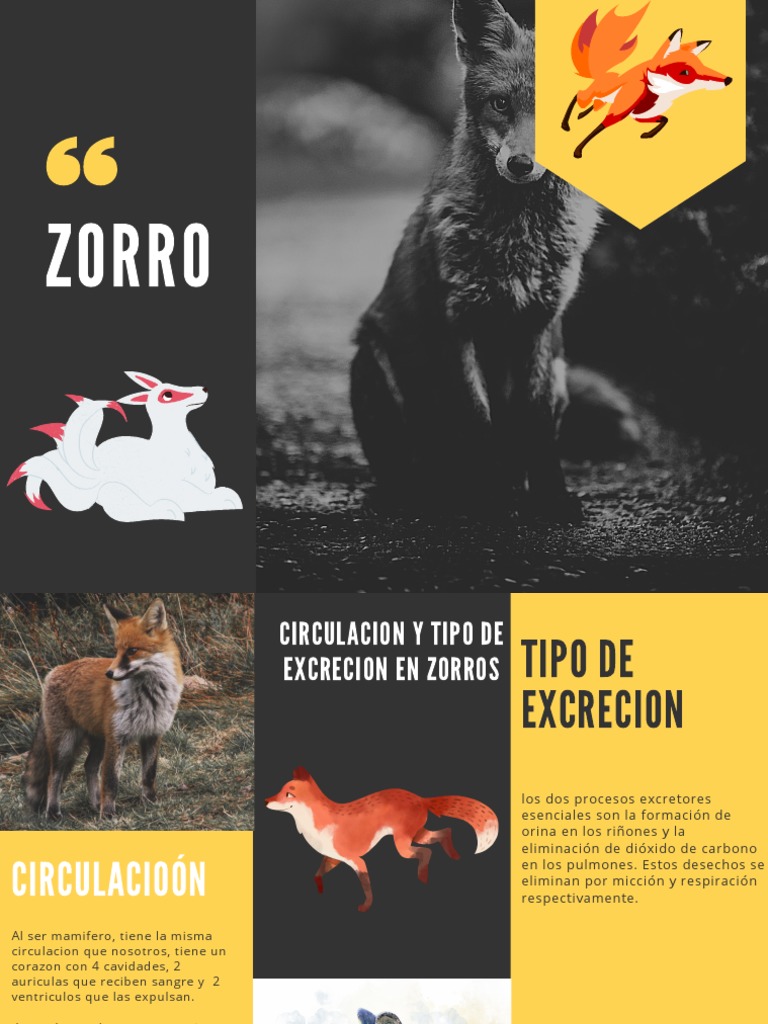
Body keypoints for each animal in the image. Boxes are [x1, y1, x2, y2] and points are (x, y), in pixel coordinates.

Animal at [23, 598, 183, 819]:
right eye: (116, 650)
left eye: (132, 650)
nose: (109, 673)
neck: (149, 697)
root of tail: (54, 671)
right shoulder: (117, 737)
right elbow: (110, 780)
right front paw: (107, 814)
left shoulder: (152, 734)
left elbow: (149, 774)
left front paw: (150, 802)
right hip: (65, 744)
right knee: (53, 775)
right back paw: (54, 812)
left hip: (98, 740)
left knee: (89, 766)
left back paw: (94, 803)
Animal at [266, 767, 498, 912]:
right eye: (280, 790)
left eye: (289, 794)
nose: (266, 801)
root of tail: (420, 798)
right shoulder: (333, 858)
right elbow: (317, 875)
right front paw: (320, 891)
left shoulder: (356, 860)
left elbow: (367, 886)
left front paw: (366, 907)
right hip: (417, 835)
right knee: (445, 833)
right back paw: (452, 857)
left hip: (402, 845)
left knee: (427, 852)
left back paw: (423, 877)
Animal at [350, 0, 604, 522]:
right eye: (501, 104)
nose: (521, 164)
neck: (518, 242)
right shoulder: (455, 320)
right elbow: (477, 417)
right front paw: (493, 502)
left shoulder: (540, 321)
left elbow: (535, 422)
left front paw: (550, 497)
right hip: (372, 362)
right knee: (414, 466)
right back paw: (437, 492)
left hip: (562, 371)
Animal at [562, 5, 732, 159]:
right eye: (685, 72)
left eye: (702, 65)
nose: (728, 79)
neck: (656, 94)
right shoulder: (622, 107)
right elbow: (600, 127)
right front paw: (578, 151)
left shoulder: (639, 116)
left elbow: (664, 119)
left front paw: (648, 134)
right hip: (594, 95)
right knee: (577, 95)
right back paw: (566, 124)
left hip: (602, 99)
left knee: (590, 103)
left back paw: (581, 115)